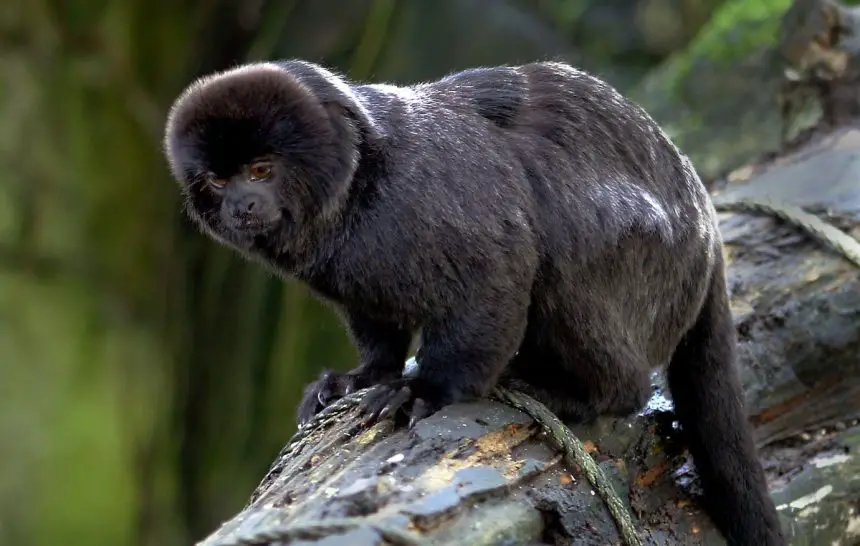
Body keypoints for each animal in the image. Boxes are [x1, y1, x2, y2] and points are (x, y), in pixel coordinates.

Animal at [162, 59, 785, 545]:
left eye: (260, 171)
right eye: (218, 181)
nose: (242, 205)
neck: (361, 187)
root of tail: (706, 234)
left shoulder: (429, 195)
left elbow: (498, 272)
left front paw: (424, 390)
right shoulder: (351, 267)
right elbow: (375, 321)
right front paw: (364, 375)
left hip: (654, 262)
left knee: (568, 263)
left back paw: (590, 392)